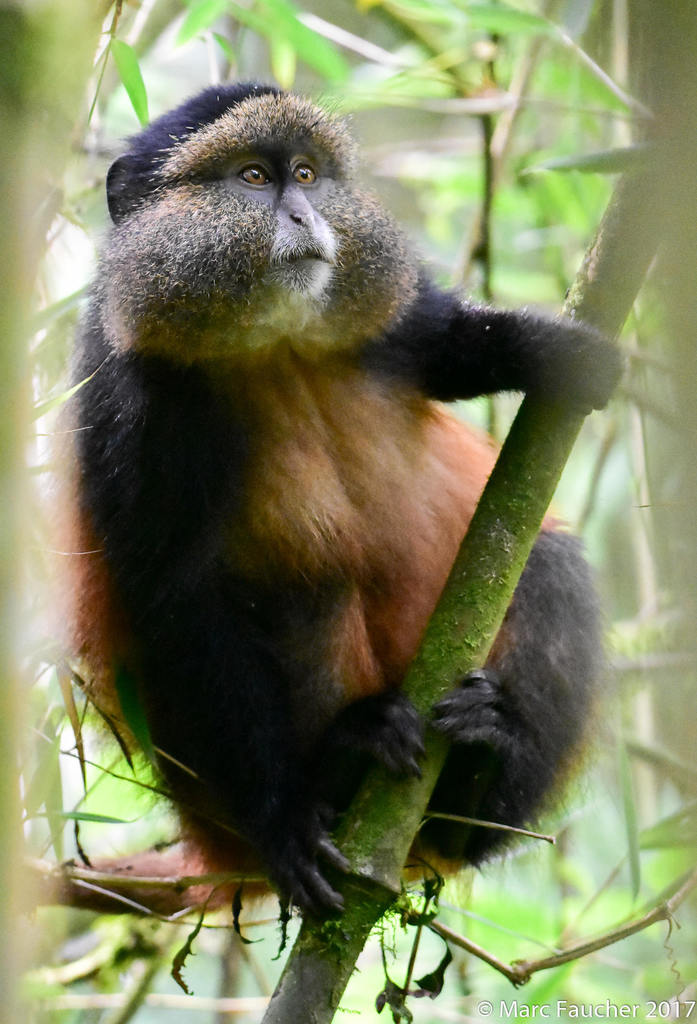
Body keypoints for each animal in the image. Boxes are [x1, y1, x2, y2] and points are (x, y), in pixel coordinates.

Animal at [62, 82, 623, 916]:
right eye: (252, 179)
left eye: (305, 173)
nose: (304, 217)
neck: (272, 339)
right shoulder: (131, 400)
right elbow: (177, 598)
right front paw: (285, 822)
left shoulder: (387, 310)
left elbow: (445, 346)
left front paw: (552, 352)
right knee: (305, 591)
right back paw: (345, 761)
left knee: (549, 564)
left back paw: (478, 787)